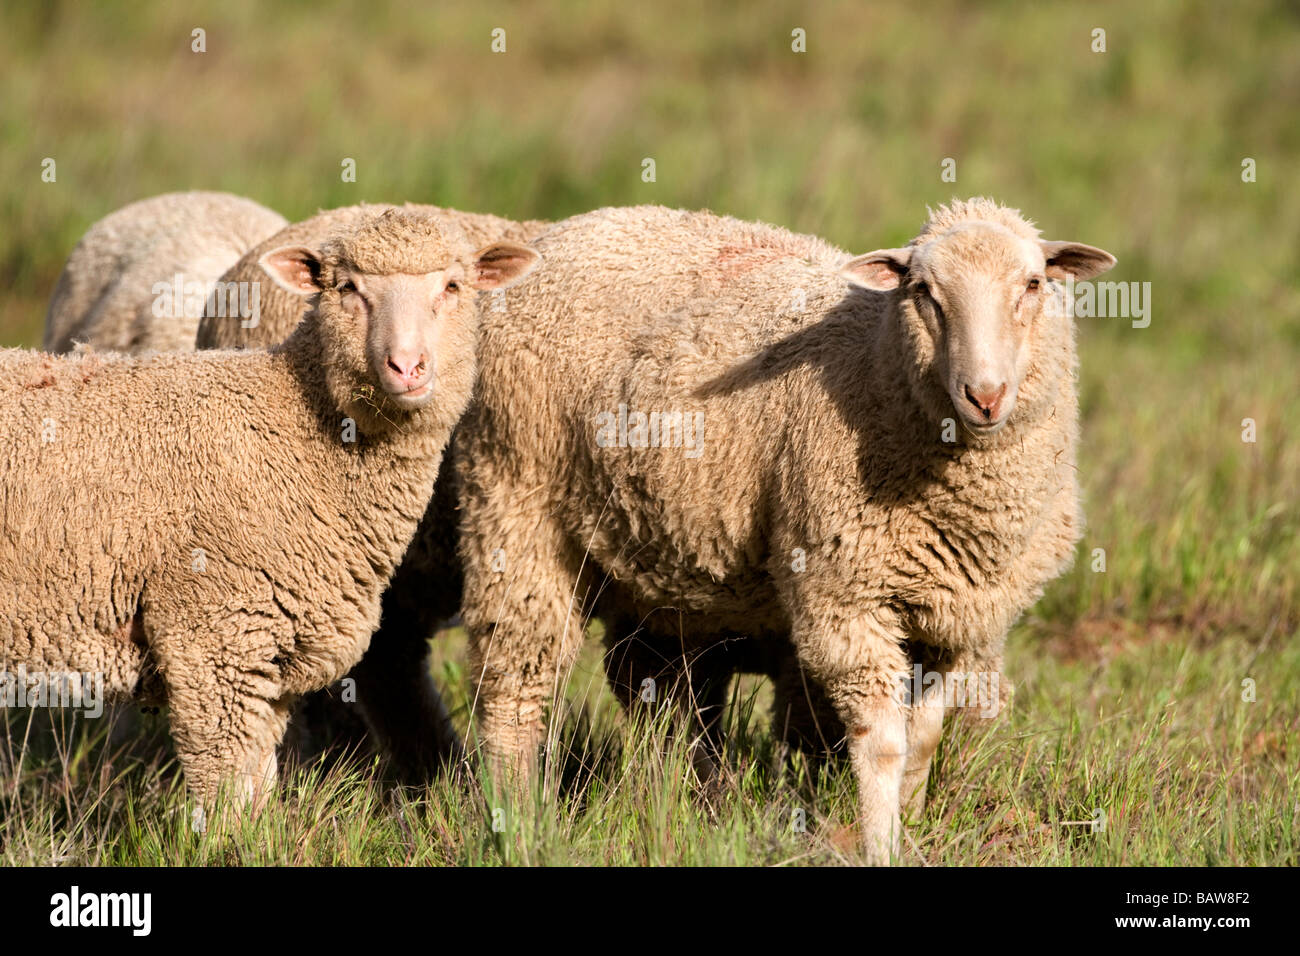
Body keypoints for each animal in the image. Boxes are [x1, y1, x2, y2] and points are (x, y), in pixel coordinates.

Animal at [1, 208, 540, 810]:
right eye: (347, 289)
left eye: (452, 287)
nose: (406, 366)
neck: (293, 421)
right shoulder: (212, 635)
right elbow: (225, 797)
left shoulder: (269, 653)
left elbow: (257, 792)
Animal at [455, 199, 1115, 864]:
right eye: (923, 292)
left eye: (1033, 284)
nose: (984, 395)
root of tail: (561, 231)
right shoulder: (845, 595)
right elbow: (883, 743)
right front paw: (882, 844)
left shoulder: (959, 616)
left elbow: (924, 737)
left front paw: (911, 823)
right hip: (517, 507)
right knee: (513, 692)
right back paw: (517, 821)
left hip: (656, 557)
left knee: (657, 691)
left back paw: (695, 799)